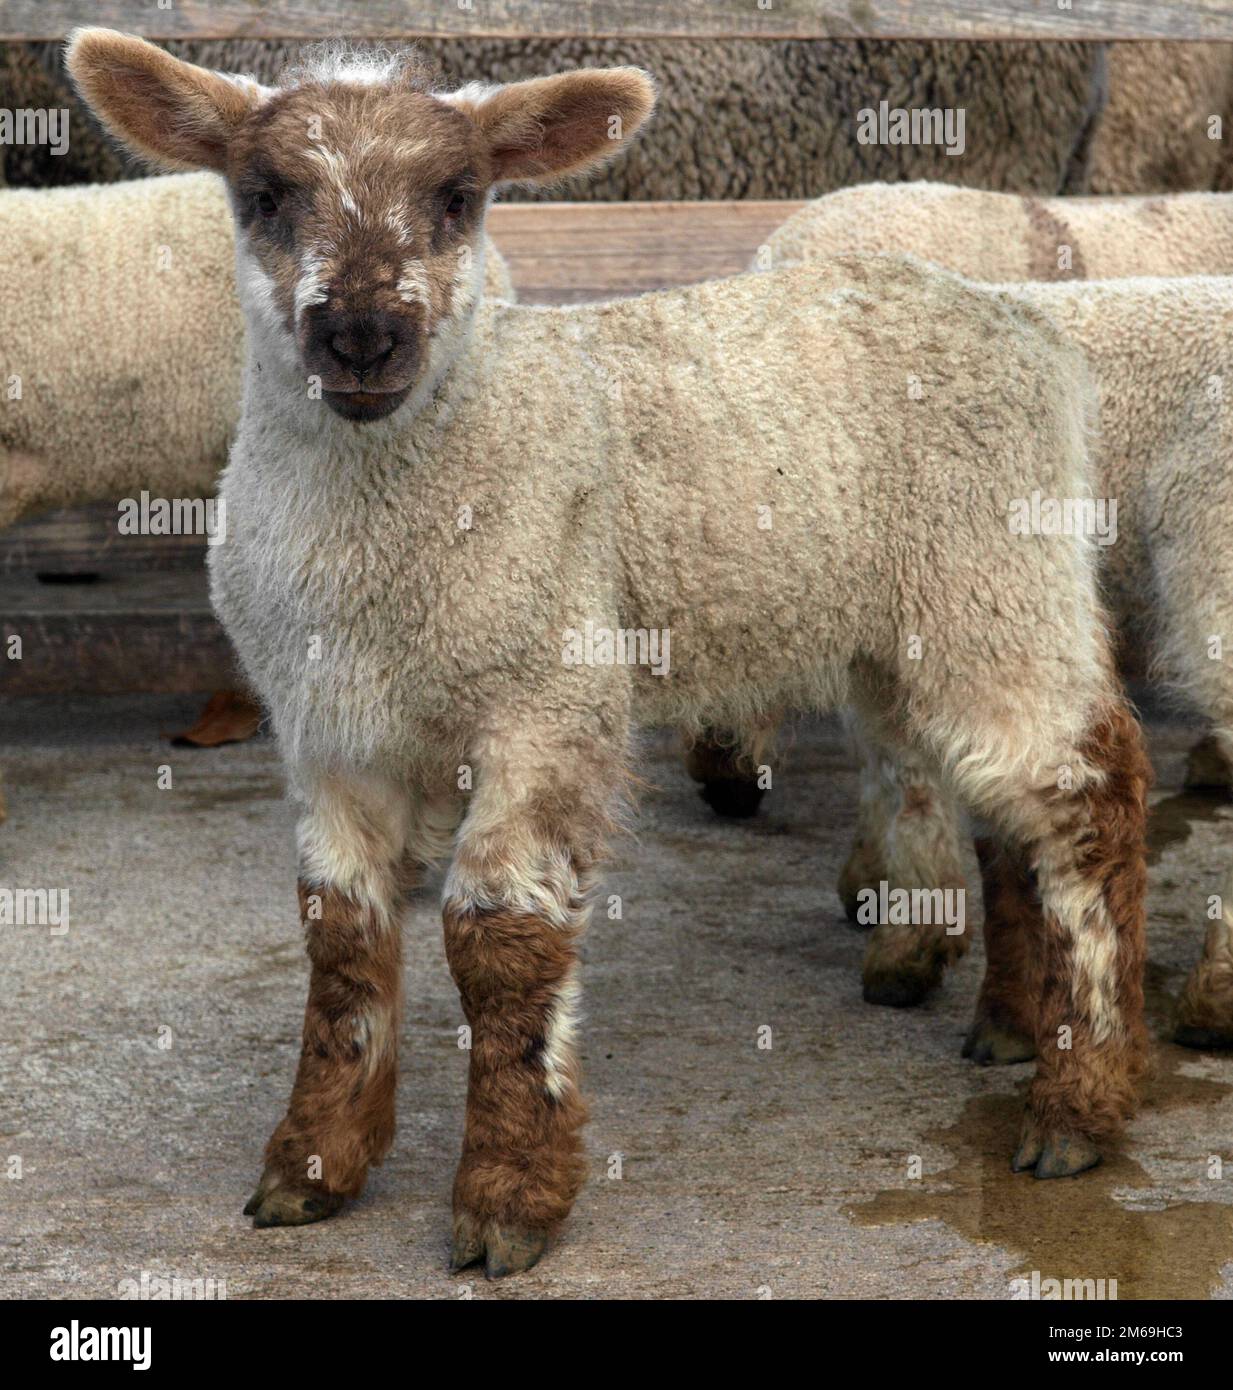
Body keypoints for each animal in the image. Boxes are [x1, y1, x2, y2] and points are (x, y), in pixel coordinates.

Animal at [70, 28, 1151, 1277]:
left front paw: (508, 1196)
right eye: (264, 195)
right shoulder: (326, 728)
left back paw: (1080, 1104)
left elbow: (500, 938)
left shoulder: (550, 693)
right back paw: (1010, 1029)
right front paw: (312, 1165)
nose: (363, 336)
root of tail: (1029, 326)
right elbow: (339, 936)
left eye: (459, 198)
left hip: (999, 574)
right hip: (919, 624)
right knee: (1007, 811)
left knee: (1090, 795)